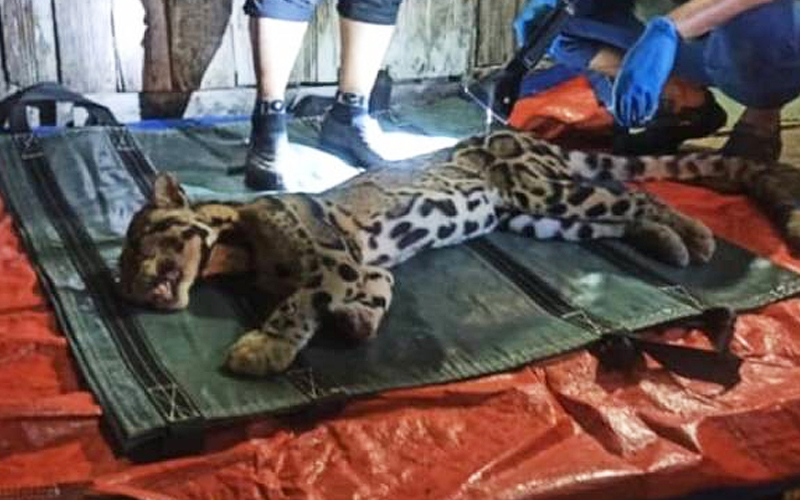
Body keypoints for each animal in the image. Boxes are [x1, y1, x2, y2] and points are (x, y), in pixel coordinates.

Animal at [118, 129, 800, 376]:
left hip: (542, 190)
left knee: (634, 192)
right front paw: (358, 321)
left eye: (142, 241)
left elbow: (298, 304)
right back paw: (668, 241)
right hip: (539, 218)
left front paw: (265, 346)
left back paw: (695, 236)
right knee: (617, 215)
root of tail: (522, 133)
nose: (131, 287)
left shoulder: (333, 260)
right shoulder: (367, 267)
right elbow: (376, 295)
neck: (238, 253)